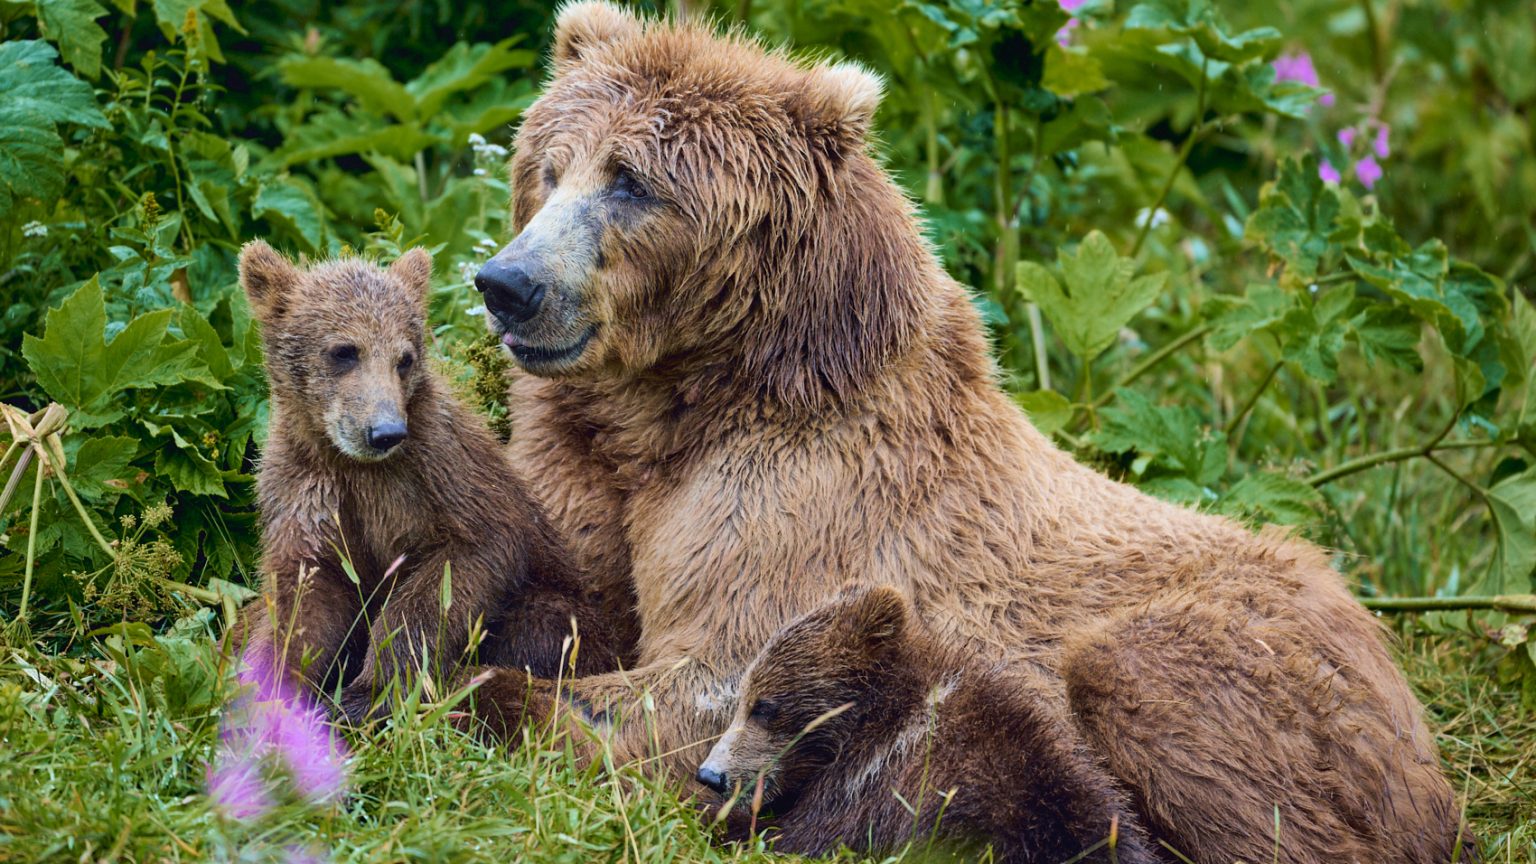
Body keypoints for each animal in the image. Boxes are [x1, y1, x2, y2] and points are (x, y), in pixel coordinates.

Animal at [236, 241, 631, 723]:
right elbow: (303, 599)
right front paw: (268, 687)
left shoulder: (437, 472)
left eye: (403, 358)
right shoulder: (307, 490)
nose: (385, 432)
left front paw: (367, 693)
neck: (352, 464)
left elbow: (452, 576)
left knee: (545, 626)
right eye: (344, 350)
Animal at [693, 585, 1162, 864]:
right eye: (744, 699)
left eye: (763, 705)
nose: (710, 774)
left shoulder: (877, 785)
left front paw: (715, 819)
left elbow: (798, 836)